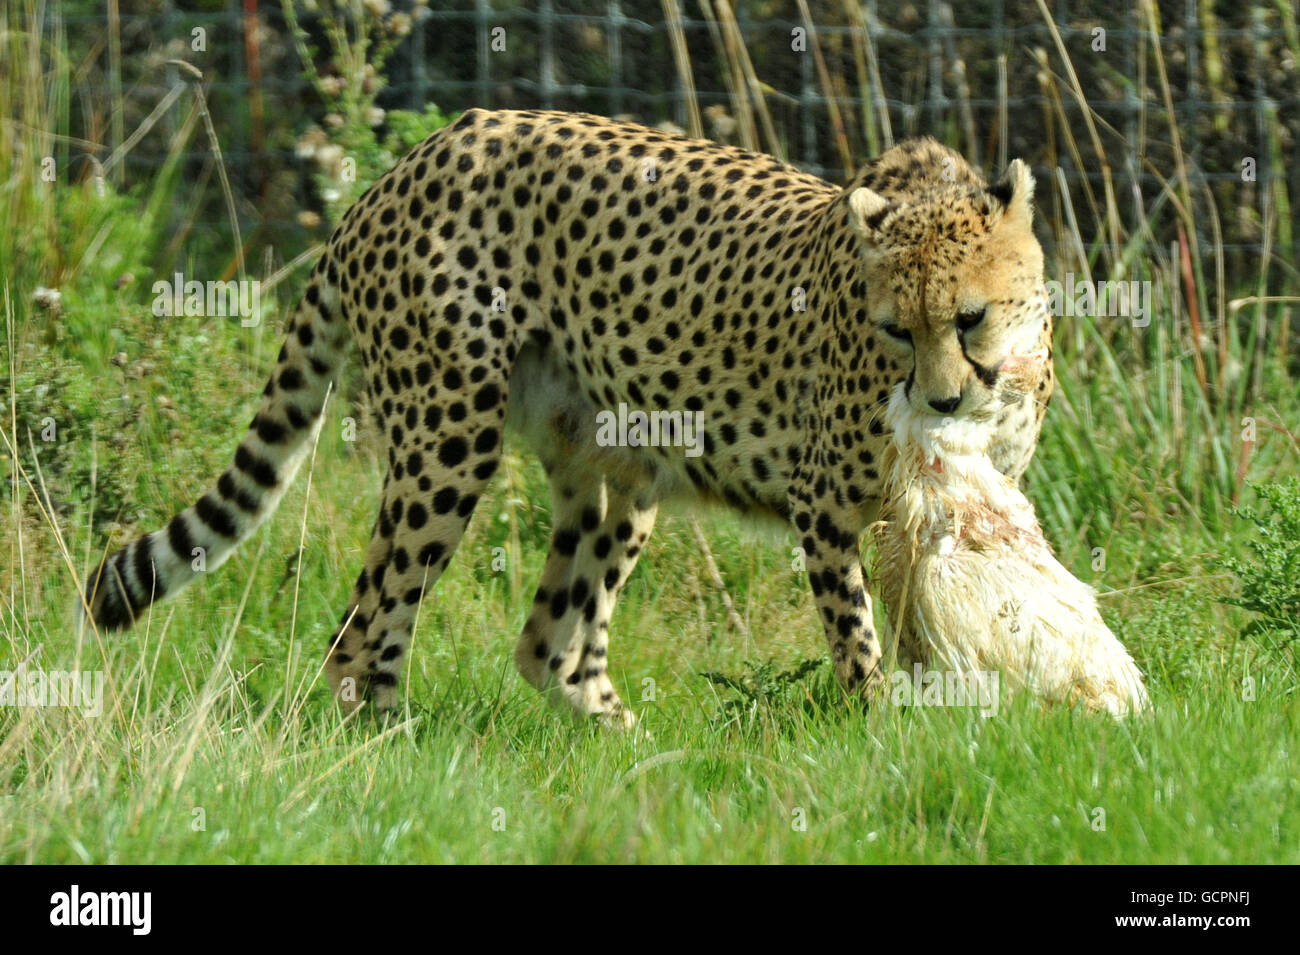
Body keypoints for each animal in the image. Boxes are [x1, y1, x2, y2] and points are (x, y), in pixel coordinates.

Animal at [82, 108, 1055, 727]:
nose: (941, 399)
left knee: (546, 639)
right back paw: (392, 748)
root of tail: (404, 166)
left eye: (967, 318)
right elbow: (857, 631)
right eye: (896, 329)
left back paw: (631, 748)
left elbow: (939, 610)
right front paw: (880, 729)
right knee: (363, 631)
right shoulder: (823, 506)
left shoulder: (953, 508)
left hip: (615, 472)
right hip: (447, 440)